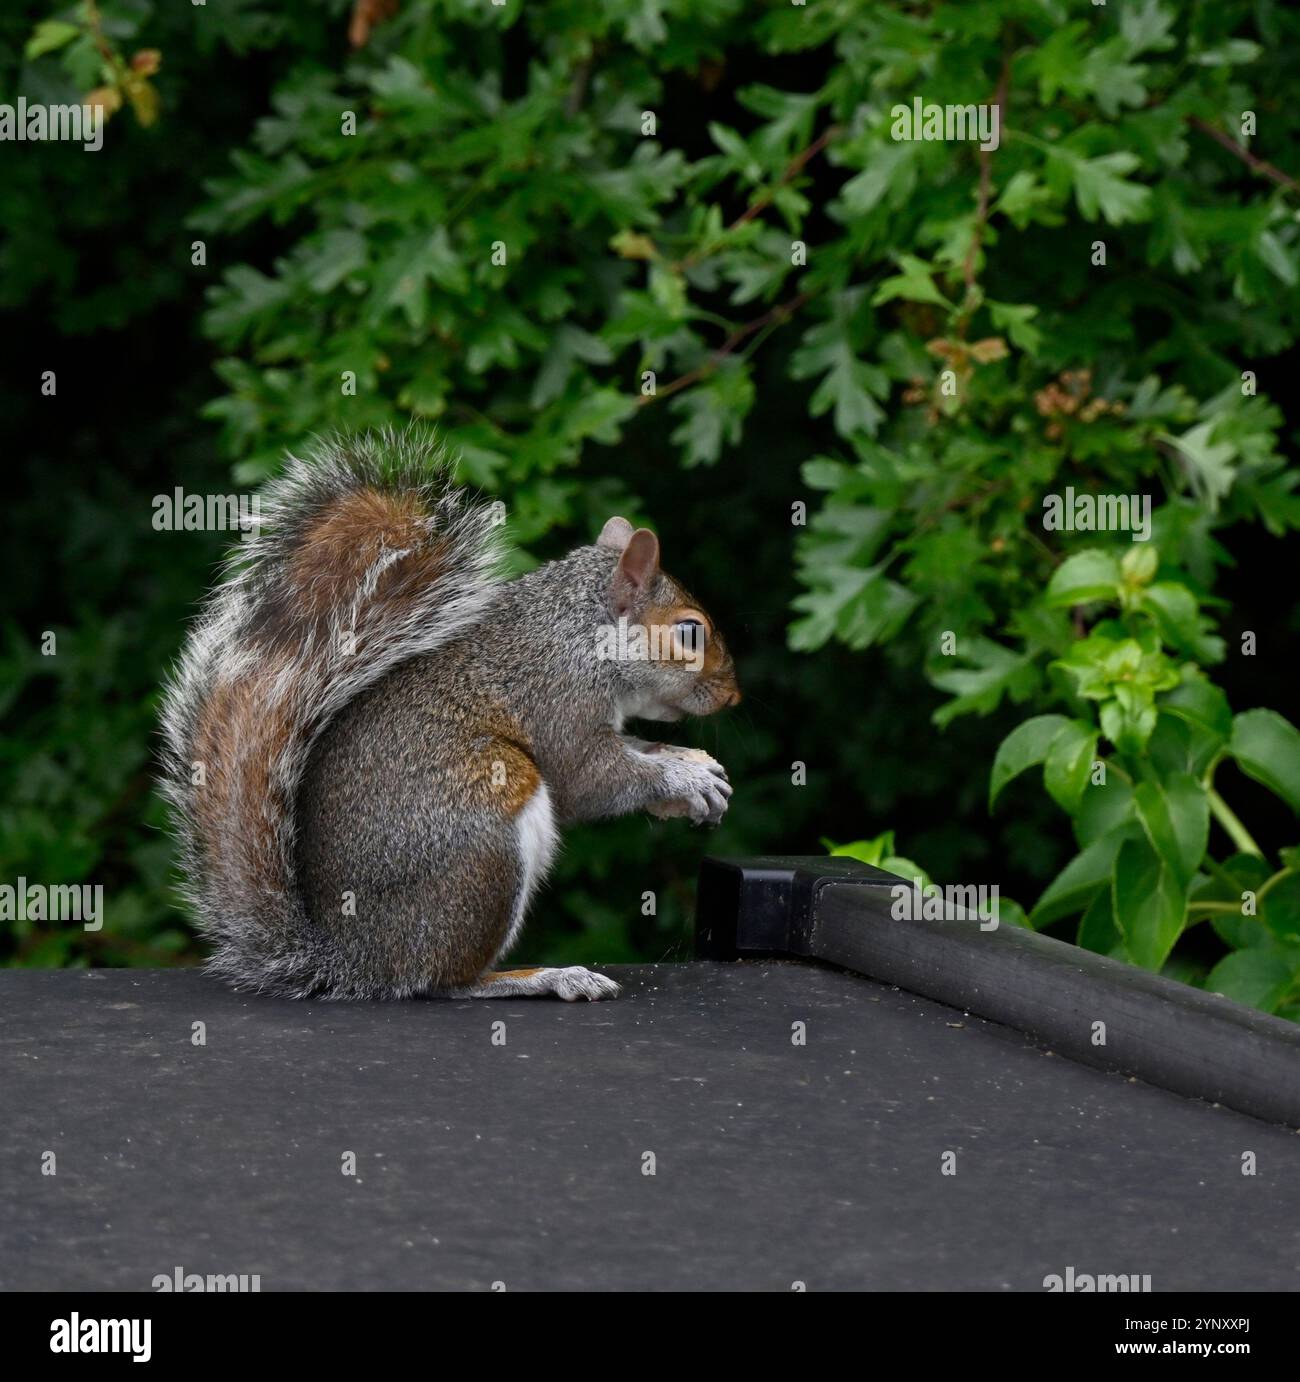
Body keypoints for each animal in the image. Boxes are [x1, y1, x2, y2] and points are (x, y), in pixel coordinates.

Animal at [159, 430, 740, 1002]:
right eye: (689, 631)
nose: (733, 696)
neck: (580, 634)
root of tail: (353, 961)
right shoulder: (560, 702)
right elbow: (590, 779)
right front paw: (683, 777)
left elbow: (638, 751)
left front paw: (694, 768)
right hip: (484, 826)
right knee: (444, 980)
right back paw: (543, 977)